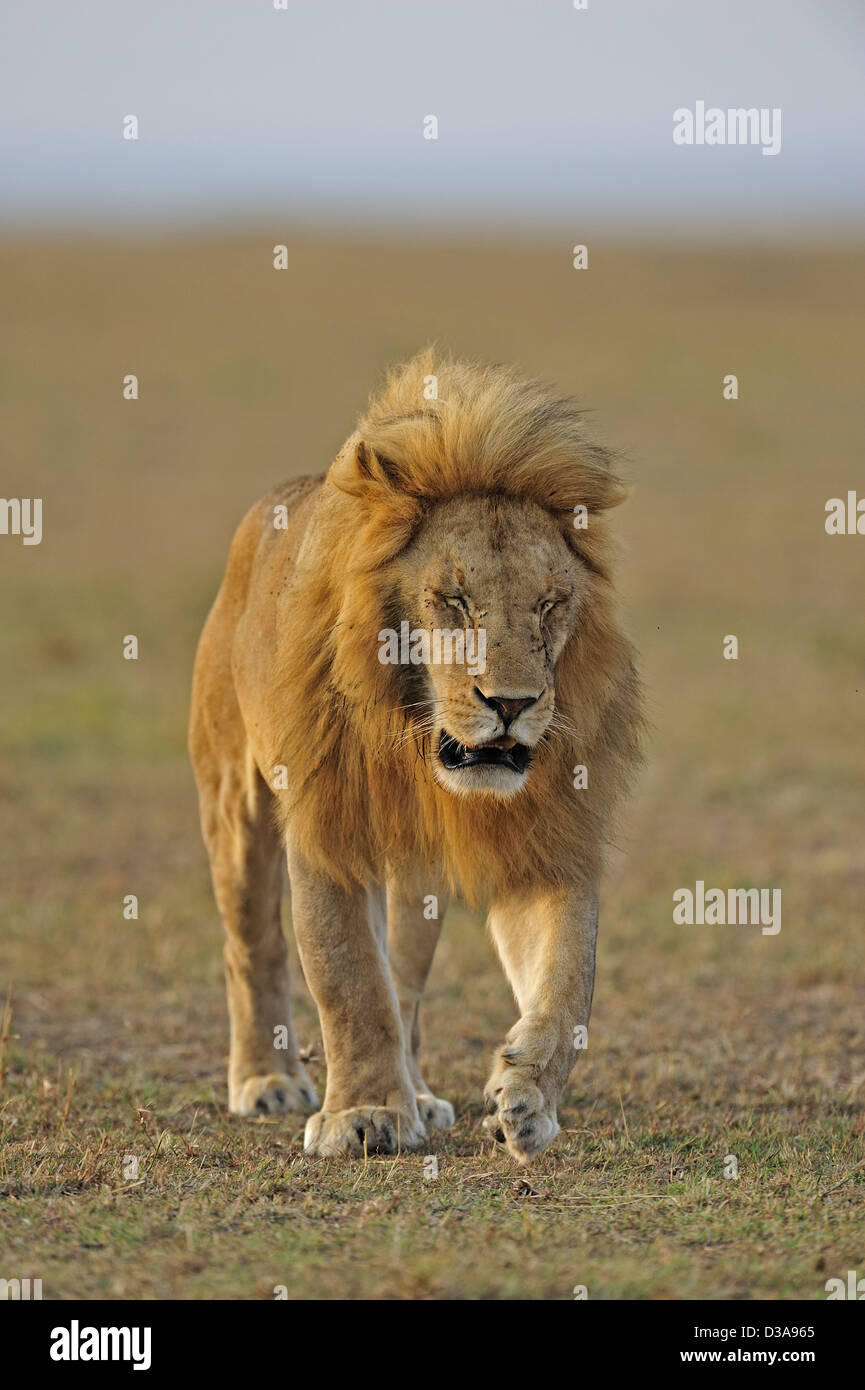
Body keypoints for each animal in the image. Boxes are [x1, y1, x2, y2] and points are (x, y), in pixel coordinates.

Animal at [189, 350, 642, 1162]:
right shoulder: (330, 830)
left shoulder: (546, 837)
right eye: (453, 601)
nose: (511, 704)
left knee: (406, 982)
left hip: (416, 880)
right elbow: (348, 980)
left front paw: (528, 1096)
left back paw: (422, 1093)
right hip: (233, 803)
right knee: (254, 950)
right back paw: (267, 1080)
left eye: (550, 605)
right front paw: (366, 1114)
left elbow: (567, 981)